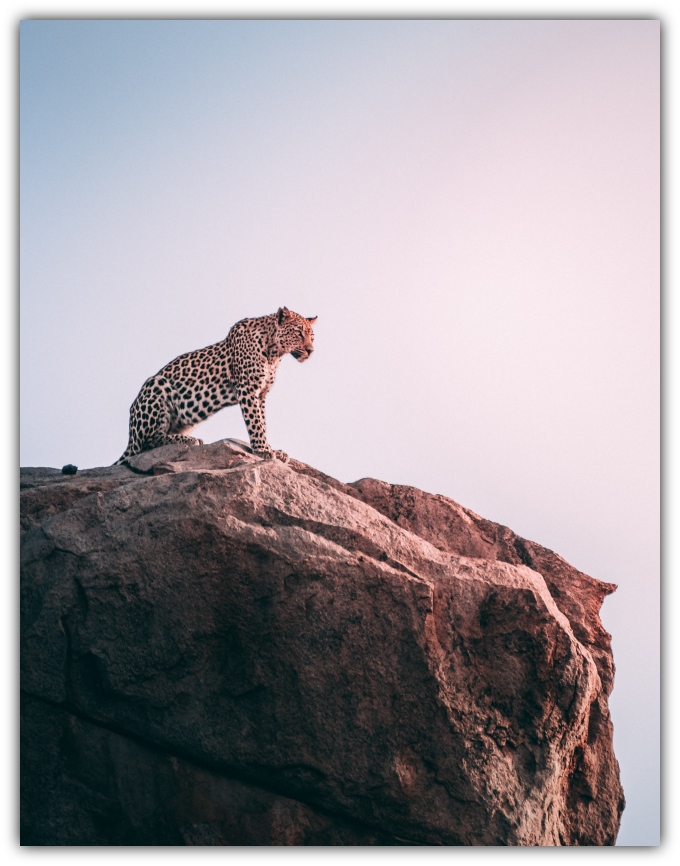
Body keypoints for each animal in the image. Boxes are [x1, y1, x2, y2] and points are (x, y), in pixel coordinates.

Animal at [115, 307, 316, 465]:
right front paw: (263, 450)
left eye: (312, 337)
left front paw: (271, 449)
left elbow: (263, 422)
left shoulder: (261, 394)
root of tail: (130, 438)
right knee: (147, 443)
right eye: (298, 333)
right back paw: (188, 440)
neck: (274, 353)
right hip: (156, 385)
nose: (311, 351)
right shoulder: (248, 389)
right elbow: (255, 422)